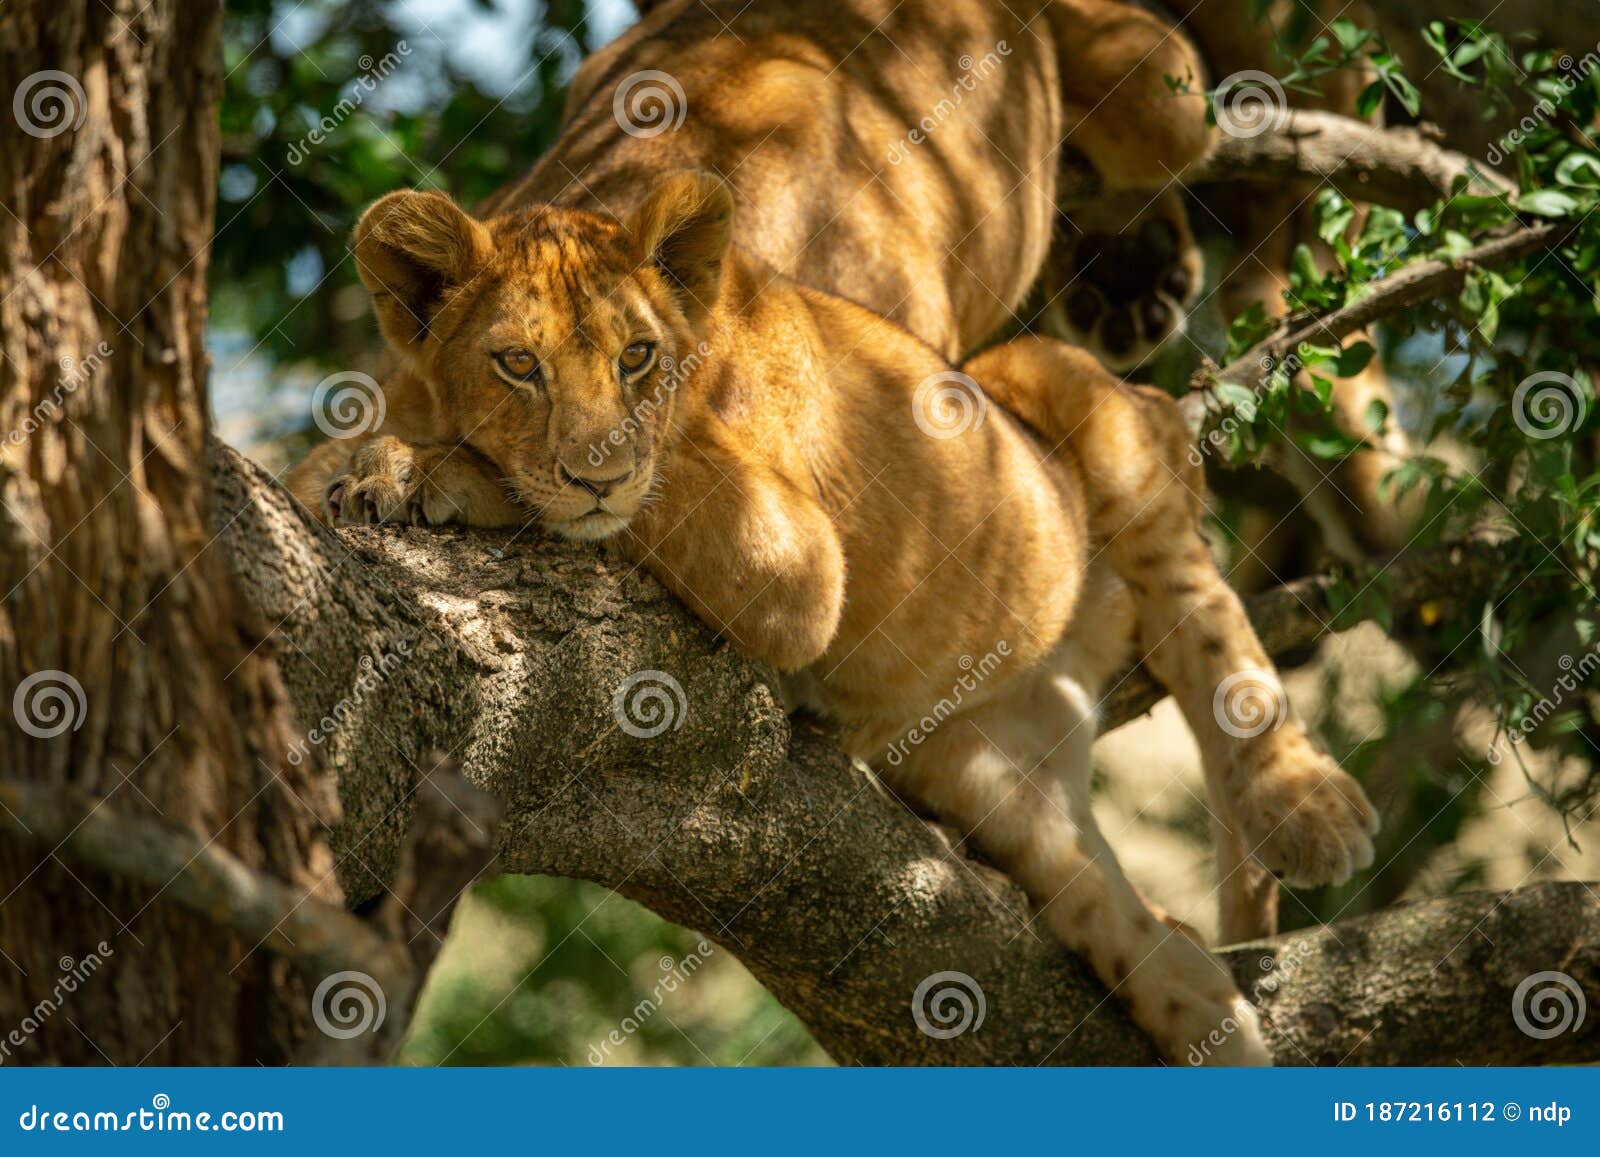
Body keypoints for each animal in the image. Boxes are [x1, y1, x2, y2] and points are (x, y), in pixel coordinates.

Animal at [285, 167, 1379, 1065]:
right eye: (518, 365)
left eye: (638, 356)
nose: (598, 470)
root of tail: (1071, 660)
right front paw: (376, 469)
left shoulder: (790, 553)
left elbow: (592, 492)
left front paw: (427, 473)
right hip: (976, 767)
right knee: (1091, 889)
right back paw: (1202, 1006)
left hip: (1078, 401)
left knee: (1209, 627)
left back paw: (1307, 807)